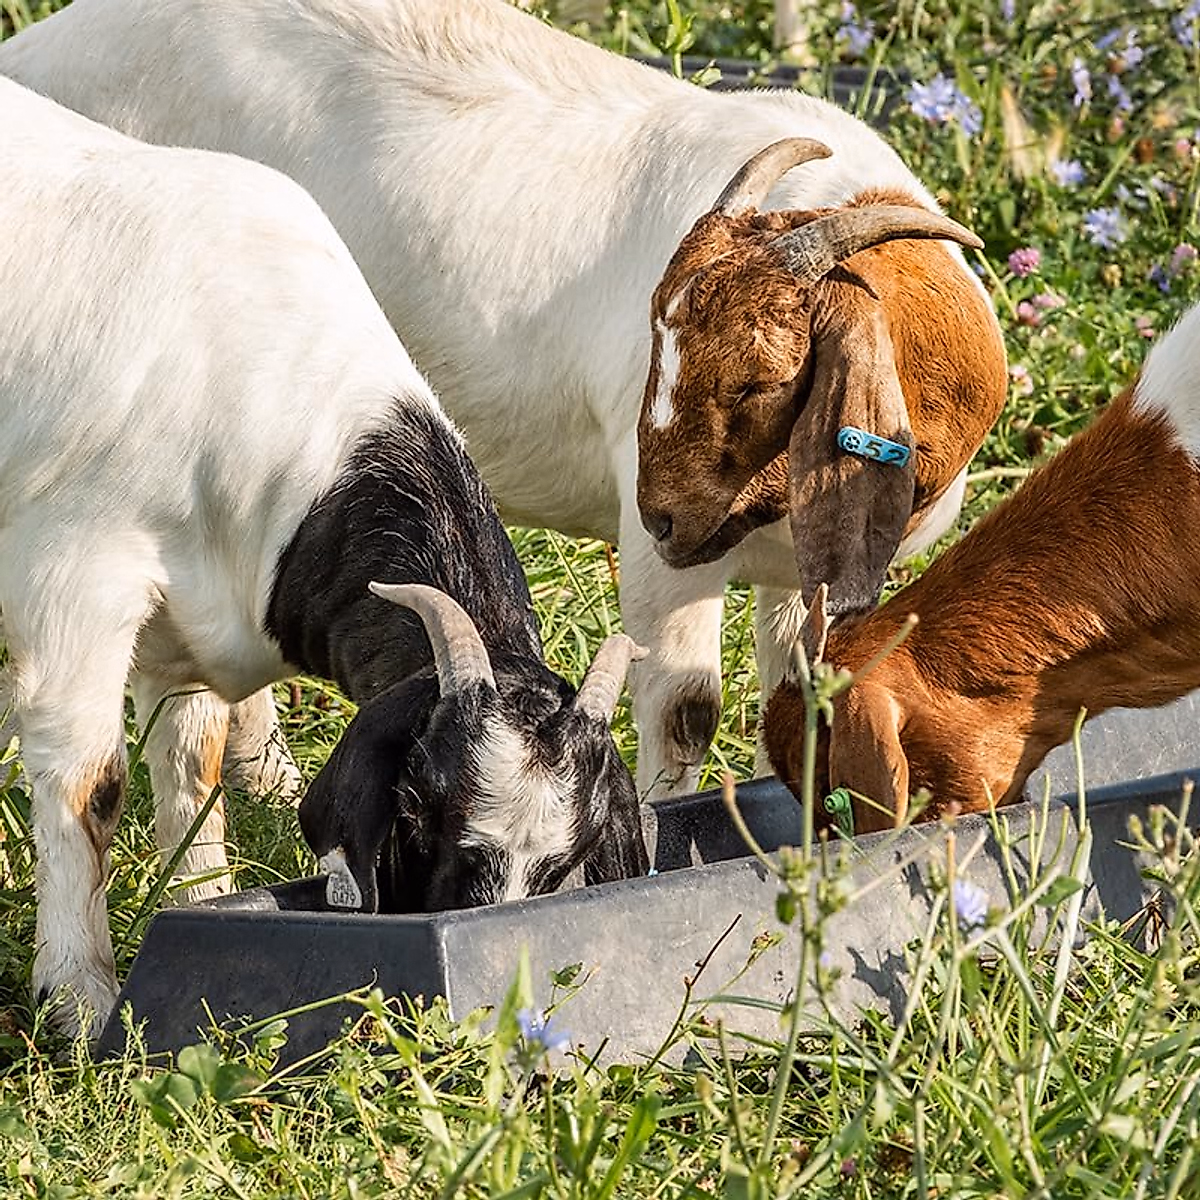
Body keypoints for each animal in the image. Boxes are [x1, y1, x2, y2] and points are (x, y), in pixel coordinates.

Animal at [0, 0, 1006, 801]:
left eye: (759, 380)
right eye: (656, 335)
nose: (661, 514)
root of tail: (36, 45)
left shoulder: (799, 574)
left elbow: (800, 697)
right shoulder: (665, 567)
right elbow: (685, 710)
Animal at [0, 77, 646, 1035]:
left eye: (564, 862)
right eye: (415, 804)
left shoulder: (186, 628)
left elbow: (191, 767)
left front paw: (201, 902)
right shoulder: (77, 577)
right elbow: (91, 782)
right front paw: (80, 999)